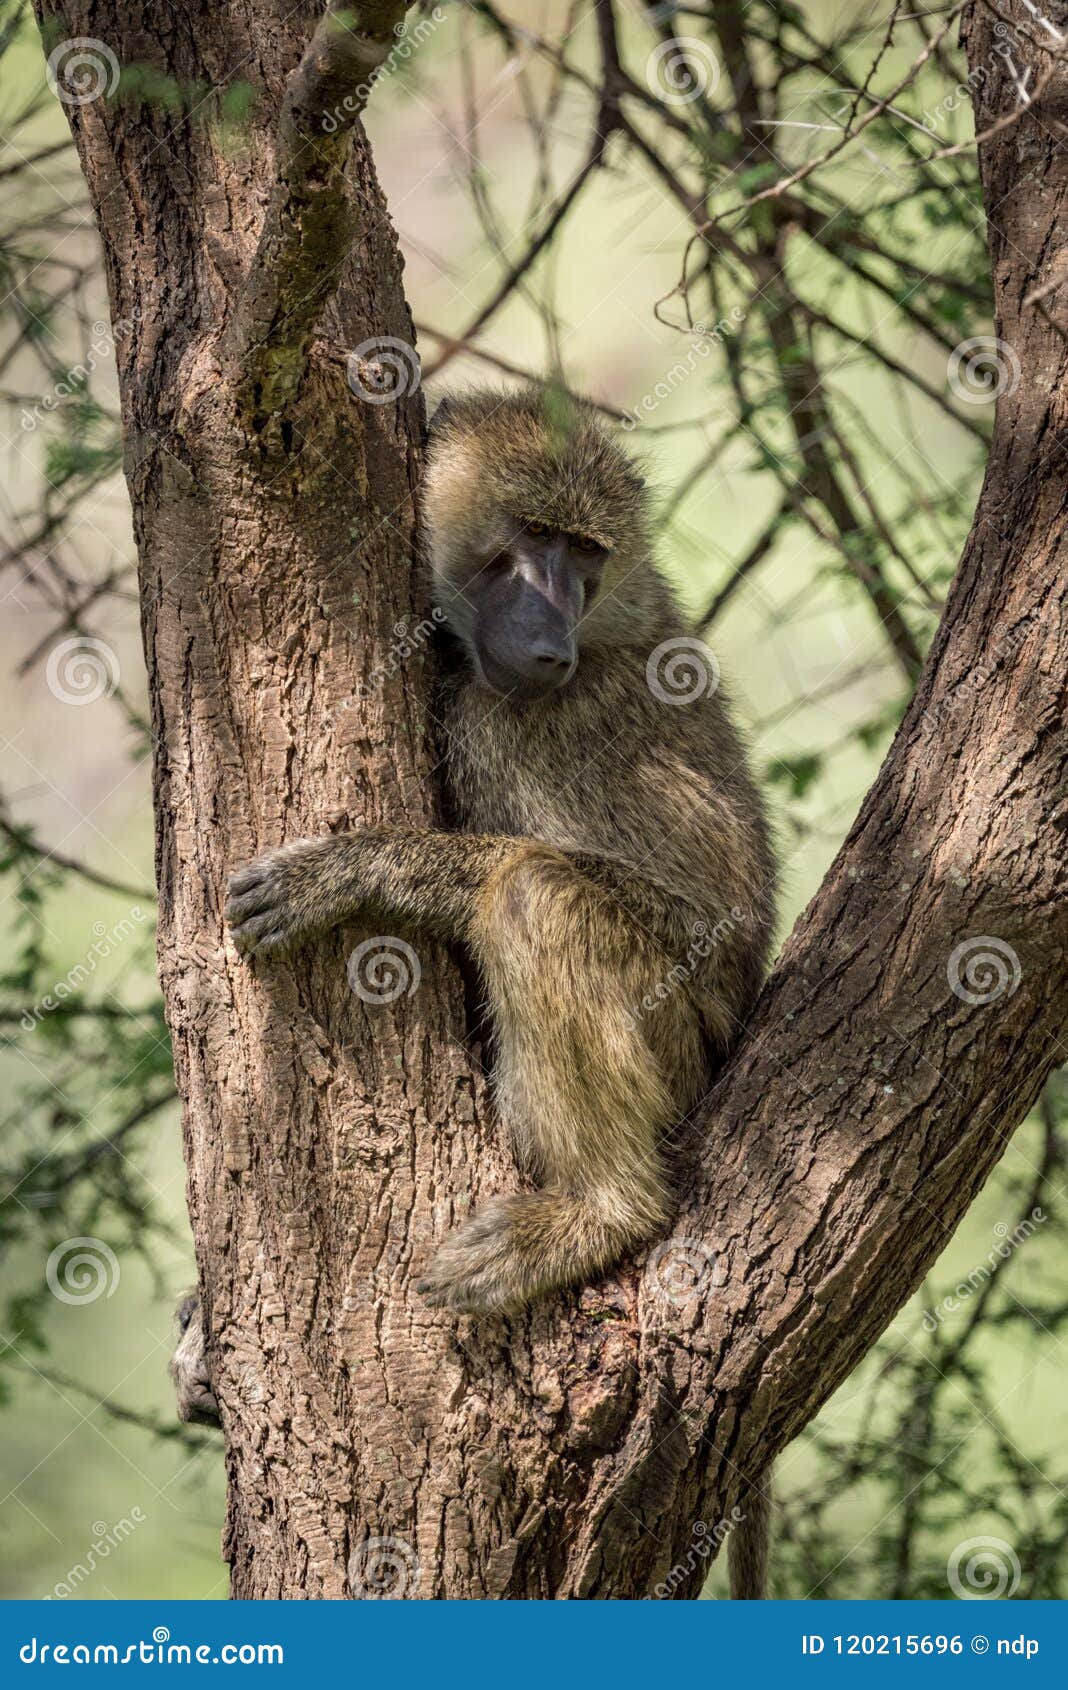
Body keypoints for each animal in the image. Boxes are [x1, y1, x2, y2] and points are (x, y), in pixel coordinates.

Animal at [224, 386, 777, 1590]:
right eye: (529, 539)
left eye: (586, 554)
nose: (551, 639)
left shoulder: (525, 717)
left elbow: (694, 915)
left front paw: (360, 869)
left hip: (682, 1045)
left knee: (536, 895)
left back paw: (601, 1210)